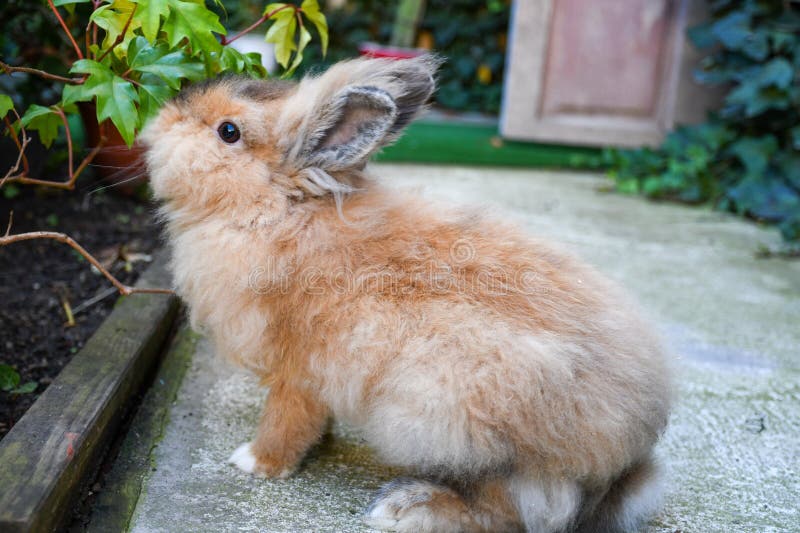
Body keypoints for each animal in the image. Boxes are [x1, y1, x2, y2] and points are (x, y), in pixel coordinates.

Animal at [140, 56, 672, 533]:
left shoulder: (301, 369)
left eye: (228, 131)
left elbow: (286, 420)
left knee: (511, 510)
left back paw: (408, 507)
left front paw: (256, 463)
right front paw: (319, 446)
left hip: (441, 413)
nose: (162, 118)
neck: (279, 212)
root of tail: (622, 464)